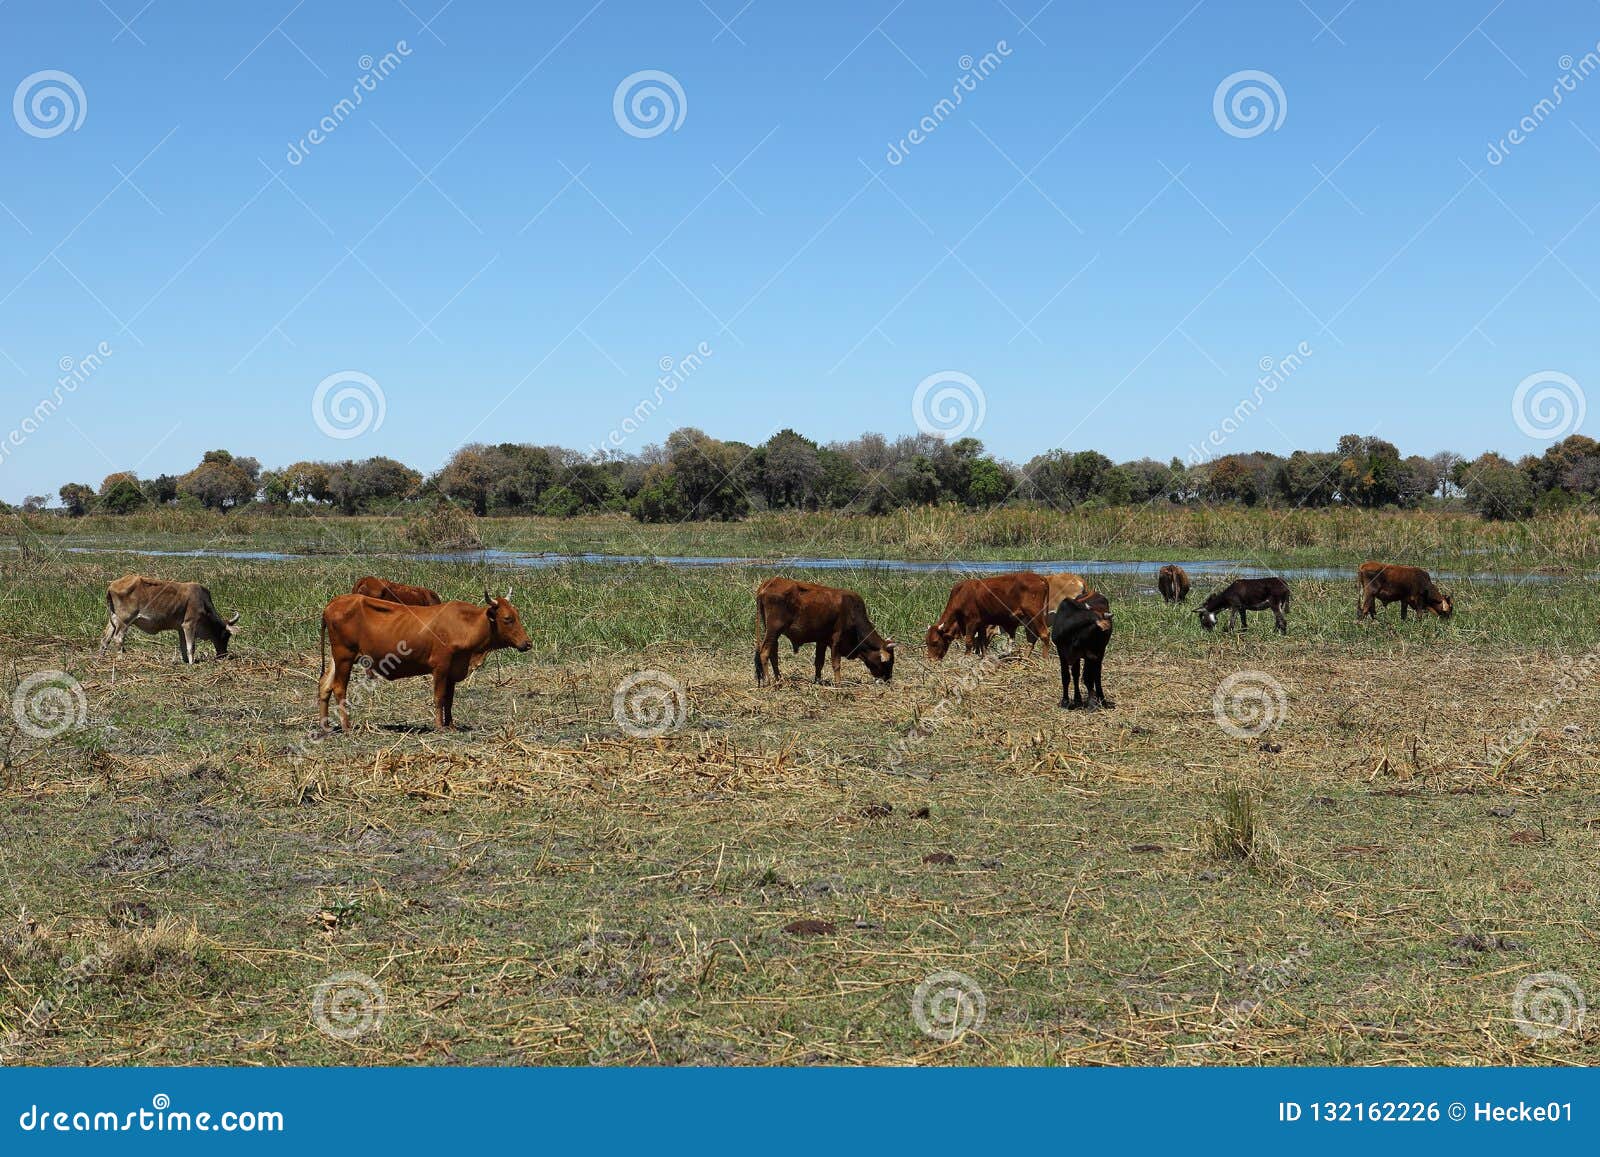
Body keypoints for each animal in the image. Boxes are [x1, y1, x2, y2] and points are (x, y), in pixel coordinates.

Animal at [99, 575, 240, 663]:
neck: (204, 604)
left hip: (113, 620)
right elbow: (191, 646)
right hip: (124, 621)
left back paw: (101, 658)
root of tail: (112, 585)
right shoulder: (189, 624)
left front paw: (185, 661)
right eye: (226, 635)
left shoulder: (181, 628)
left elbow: (183, 645)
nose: (223, 654)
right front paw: (192, 662)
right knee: (118, 638)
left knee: (105, 639)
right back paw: (120, 658)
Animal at [317, 589, 532, 731]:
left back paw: (325, 726)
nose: (528, 643)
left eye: (517, 615)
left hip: (338, 657)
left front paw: (450, 725)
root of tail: (334, 602)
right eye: (507, 619)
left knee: (325, 686)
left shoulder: (454, 669)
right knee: (339, 688)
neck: (464, 625)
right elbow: (439, 697)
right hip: (344, 655)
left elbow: (449, 699)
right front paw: (439, 726)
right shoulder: (441, 666)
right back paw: (347, 727)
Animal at [754, 577, 894, 685]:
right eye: (889, 662)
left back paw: (779, 679)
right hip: (774, 630)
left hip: (772, 632)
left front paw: (818, 681)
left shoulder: (821, 641)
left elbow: (819, 662)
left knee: (773, 654)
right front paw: (838, 684)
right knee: (765, 653)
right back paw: (768, 681)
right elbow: (836, 664)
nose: (888, 680)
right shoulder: (837, 639)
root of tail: (769, 582)